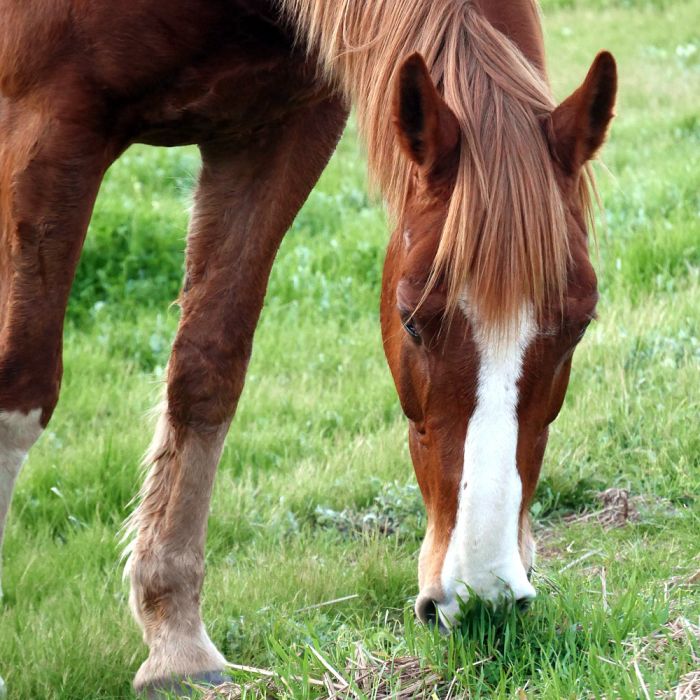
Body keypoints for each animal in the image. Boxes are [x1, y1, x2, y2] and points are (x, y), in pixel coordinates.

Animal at [0, 0, 616, 694]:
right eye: (410, 320)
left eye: (581, 324)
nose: (483, 595)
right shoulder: (46, 125)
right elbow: (20, 384)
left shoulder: (277, 132)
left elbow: (207, 369)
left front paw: (176, 644)